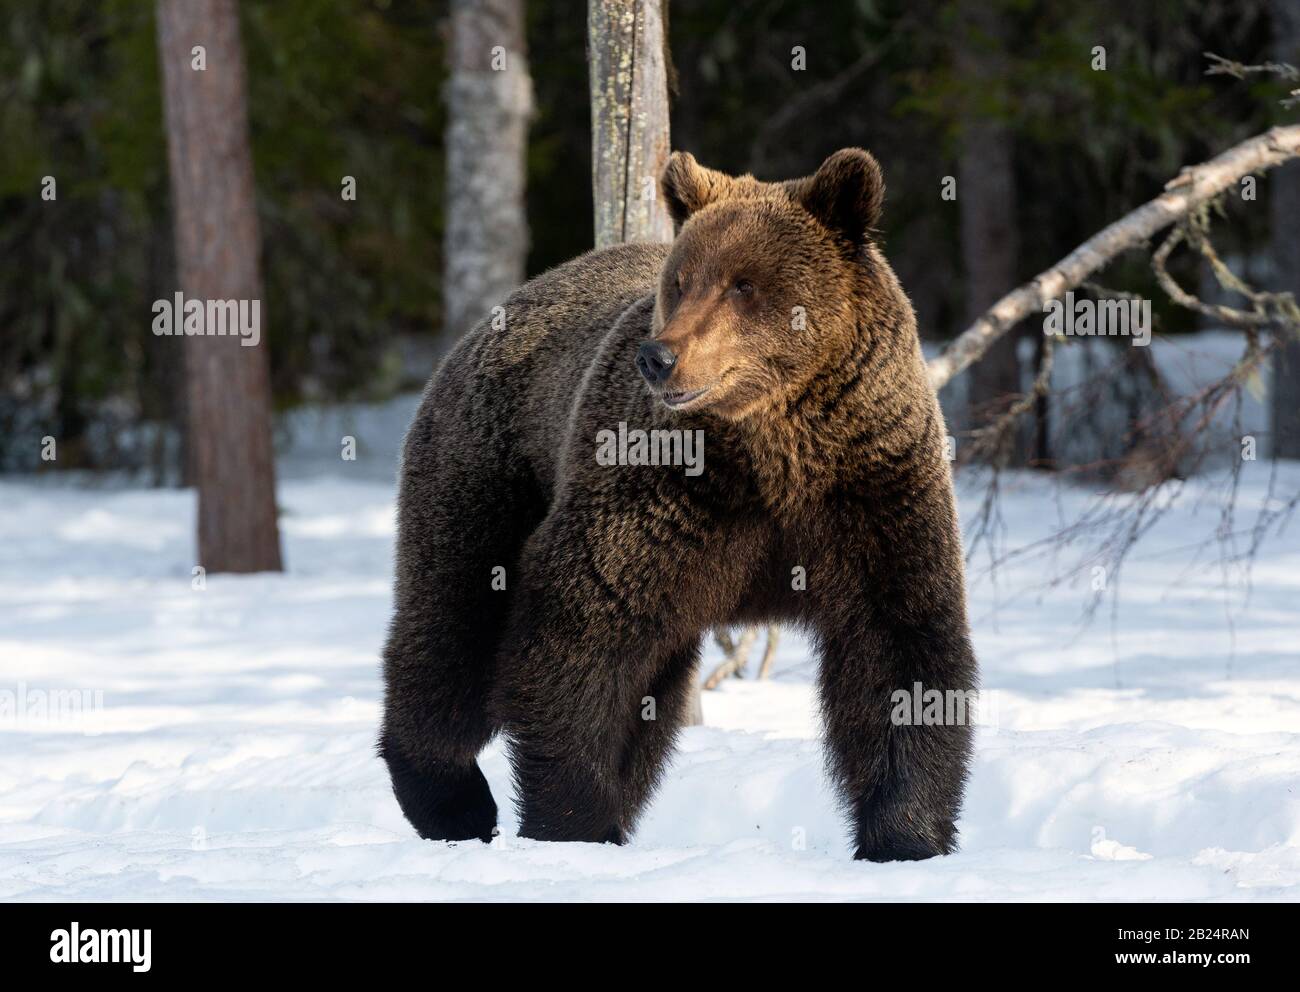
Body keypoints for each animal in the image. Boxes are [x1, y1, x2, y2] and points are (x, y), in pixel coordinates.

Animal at [379, 148, 977, 861]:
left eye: (744, 284)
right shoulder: (661, 492)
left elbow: (901, 650)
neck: (773, 448)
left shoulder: (870, 488)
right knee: (451, 619)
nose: (659, 356)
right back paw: (452, 800)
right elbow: (582, 639)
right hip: (489, 467)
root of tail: (493, 317)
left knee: (649, 690)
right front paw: (573, 822)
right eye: (683, 280)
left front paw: (905, 834)